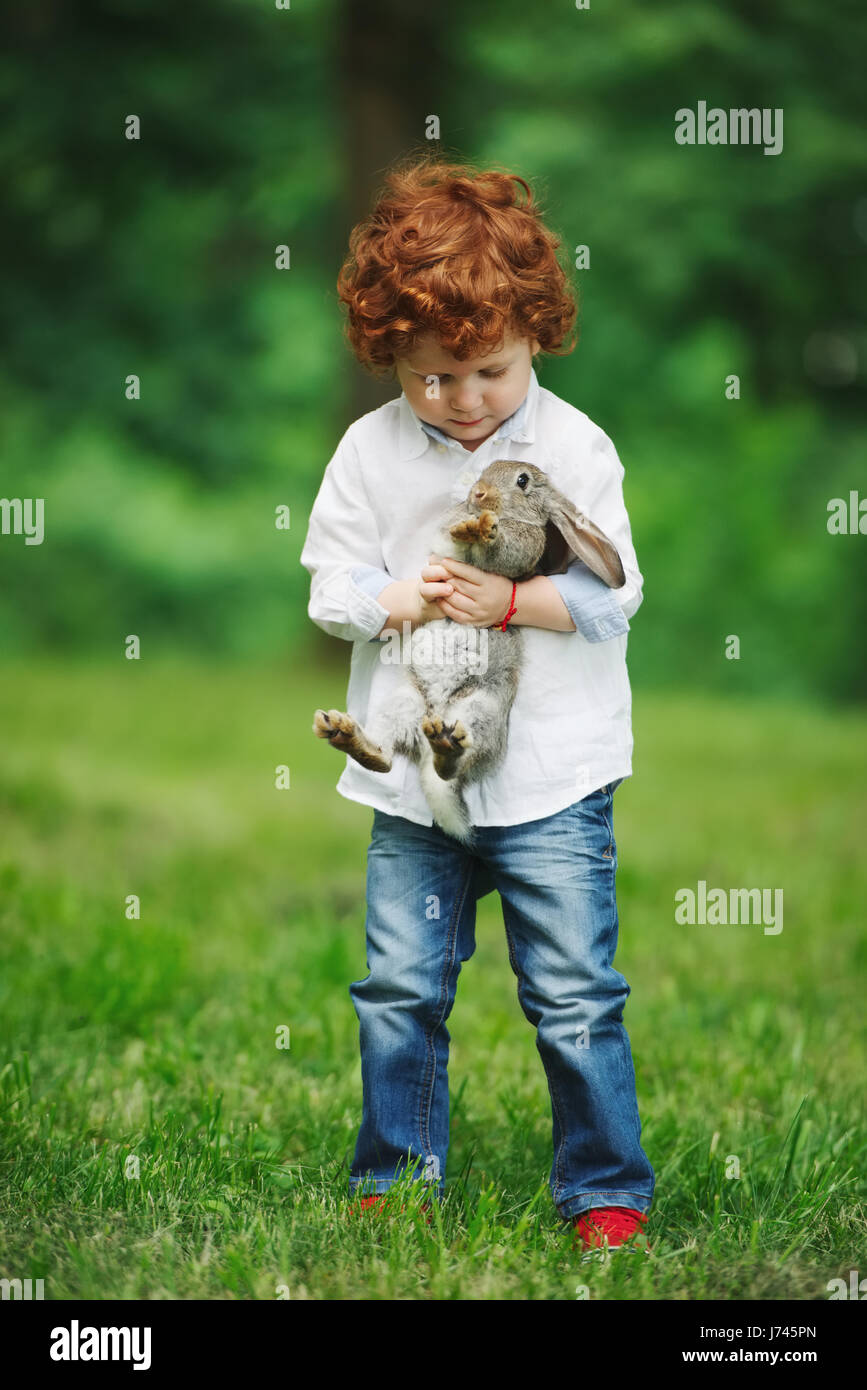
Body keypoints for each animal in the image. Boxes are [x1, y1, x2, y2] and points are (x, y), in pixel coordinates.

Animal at [315, 461, 625, 839]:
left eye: (522, 480)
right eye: (488, 468)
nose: (478, 493)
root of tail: (430, 735)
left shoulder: (521, 546)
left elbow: (499, 547)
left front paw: (483, 530)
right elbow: (453, 537)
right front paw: (468, 527)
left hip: (479, 712)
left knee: (453, 764)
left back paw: (445, 747)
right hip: (403, 704)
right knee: (385, 758)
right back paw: (346, 734)